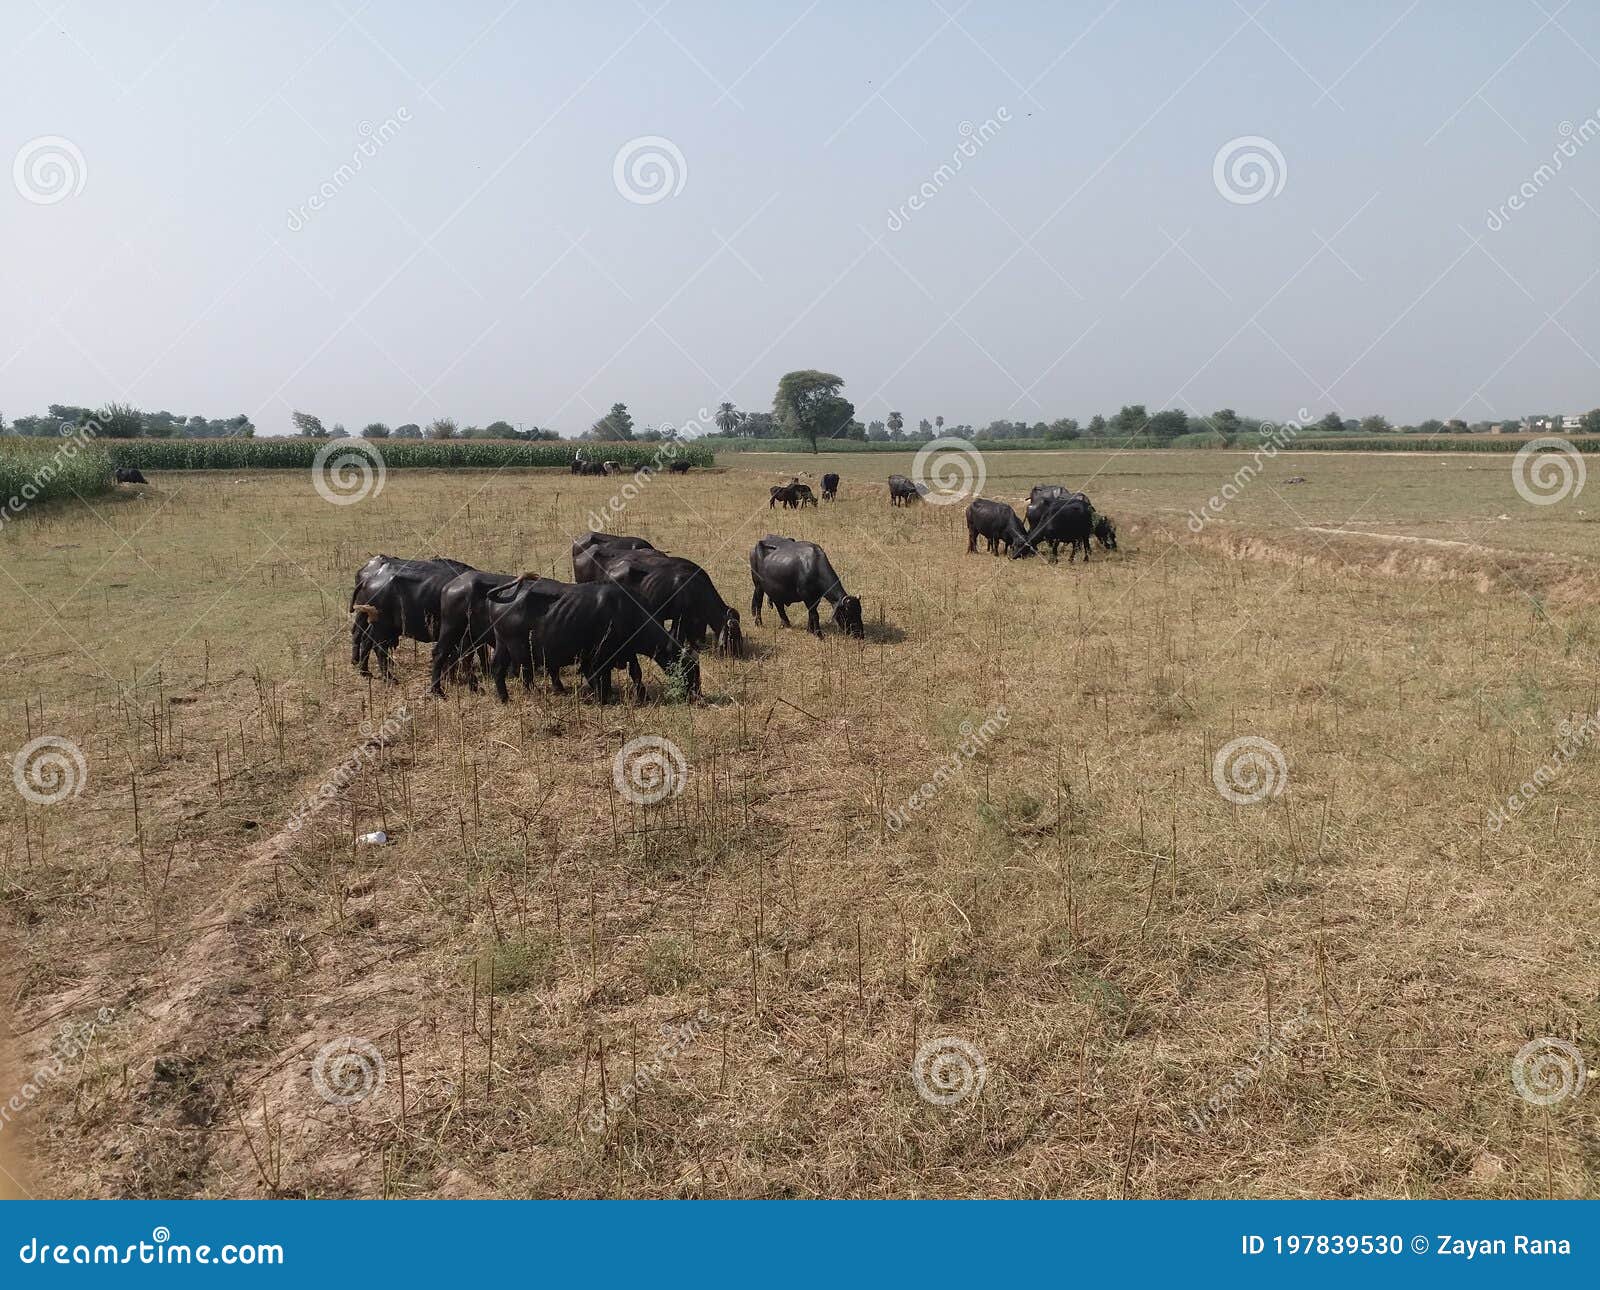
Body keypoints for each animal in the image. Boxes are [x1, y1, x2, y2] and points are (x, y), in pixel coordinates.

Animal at [530, 582, 701, 704]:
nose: (697, 695)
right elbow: (597, 674)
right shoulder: (600, 656)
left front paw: (643, 696)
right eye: (690, 667)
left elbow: (636, 673)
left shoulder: (628, 651)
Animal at [582, 547, 742, 657]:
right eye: (733, 631)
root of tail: (609, 571)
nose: (739, 651)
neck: (696, 590)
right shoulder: (681, 618)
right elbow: (678, 636)